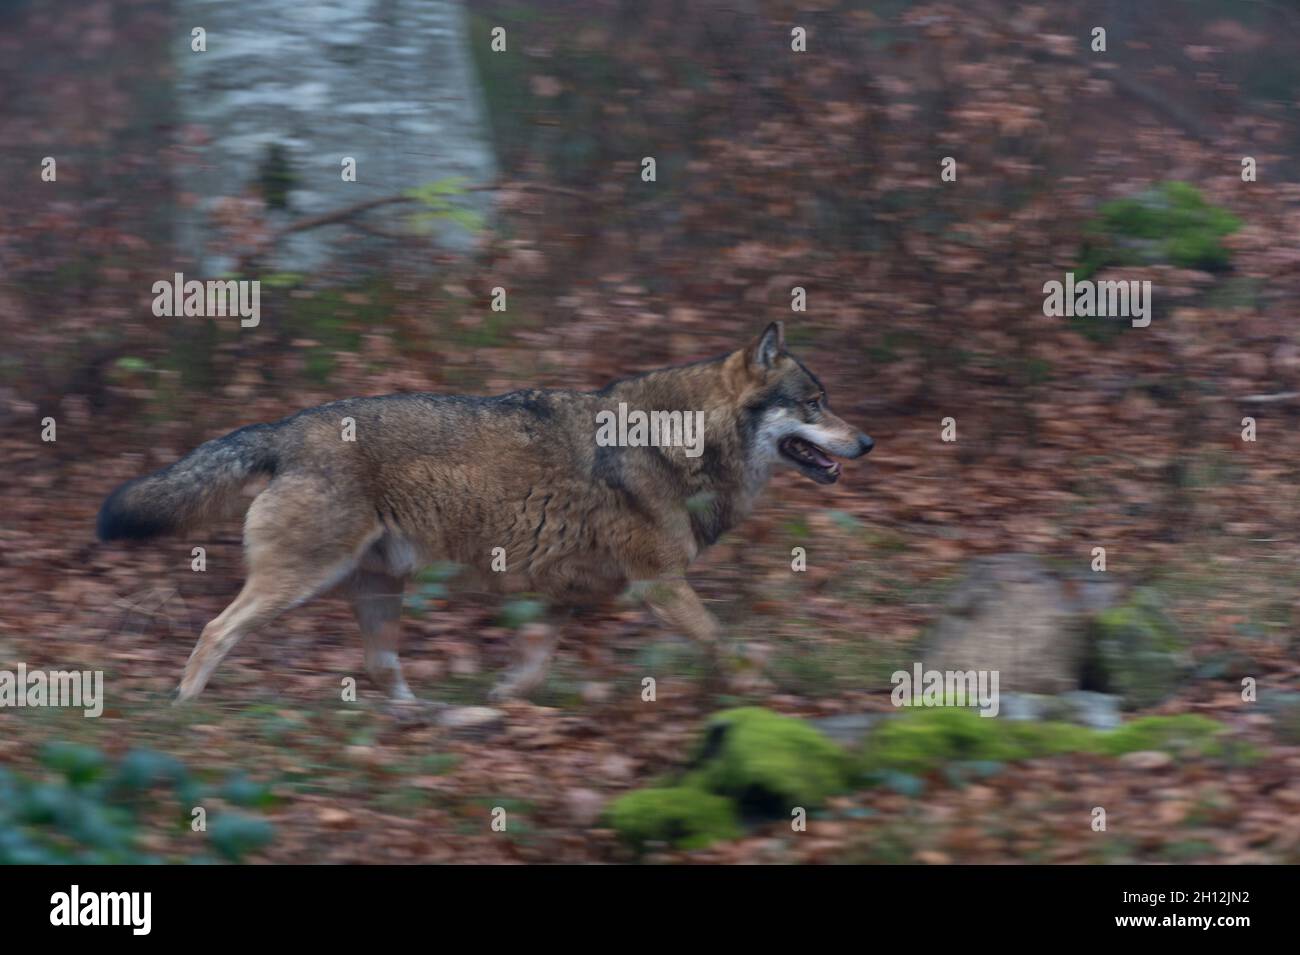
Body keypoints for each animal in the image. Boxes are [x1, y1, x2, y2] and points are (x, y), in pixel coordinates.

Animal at [97, 322, 873, 704]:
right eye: (813, 403)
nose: (866, 442)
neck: (682, 443)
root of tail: (286, 429)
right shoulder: (659, 585)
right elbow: (726, 643)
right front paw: (767, 696)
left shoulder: (558, 598)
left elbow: (528, 672)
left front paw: (500, 705)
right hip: (300, 582)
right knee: (214, 630)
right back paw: (184, 710)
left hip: (378, 588)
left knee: (378, 667)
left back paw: (417, 717)